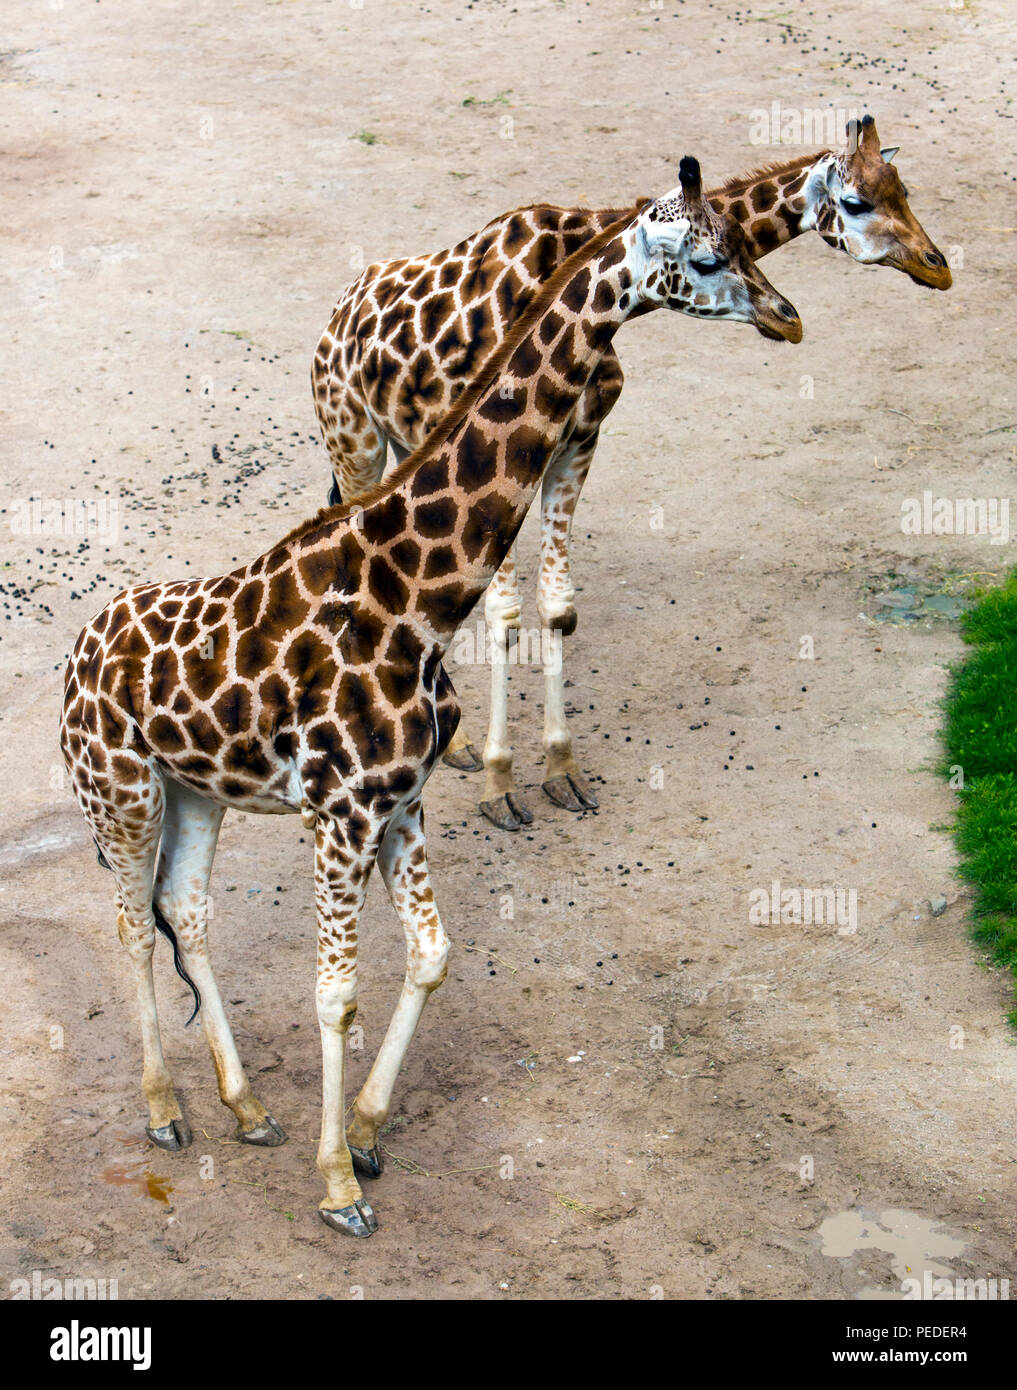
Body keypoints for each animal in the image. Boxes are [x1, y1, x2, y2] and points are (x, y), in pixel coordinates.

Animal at [60, 158, 801, 1238]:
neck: (412, 597)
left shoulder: (400, 803)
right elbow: (335, 993)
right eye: (705, 257)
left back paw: (247, 1108)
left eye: (746, 244)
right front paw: (338, 1187)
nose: (788, 317)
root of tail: (75, 658)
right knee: (126, 923)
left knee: (186, 915)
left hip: (196, 791)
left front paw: (367, 1133)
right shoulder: (338, 813)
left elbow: (432, 954)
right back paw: (165, 1112)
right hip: (120, 792)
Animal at [313, 114, 950, 830]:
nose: (939, 267)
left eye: (905, 190)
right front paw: (501, 785)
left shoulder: (578, 442)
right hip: (355, 443)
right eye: (856, 202)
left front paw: (560, 770)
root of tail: (341, 312)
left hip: (406, 441)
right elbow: (504, 614)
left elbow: (556, 606)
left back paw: (451, 744)